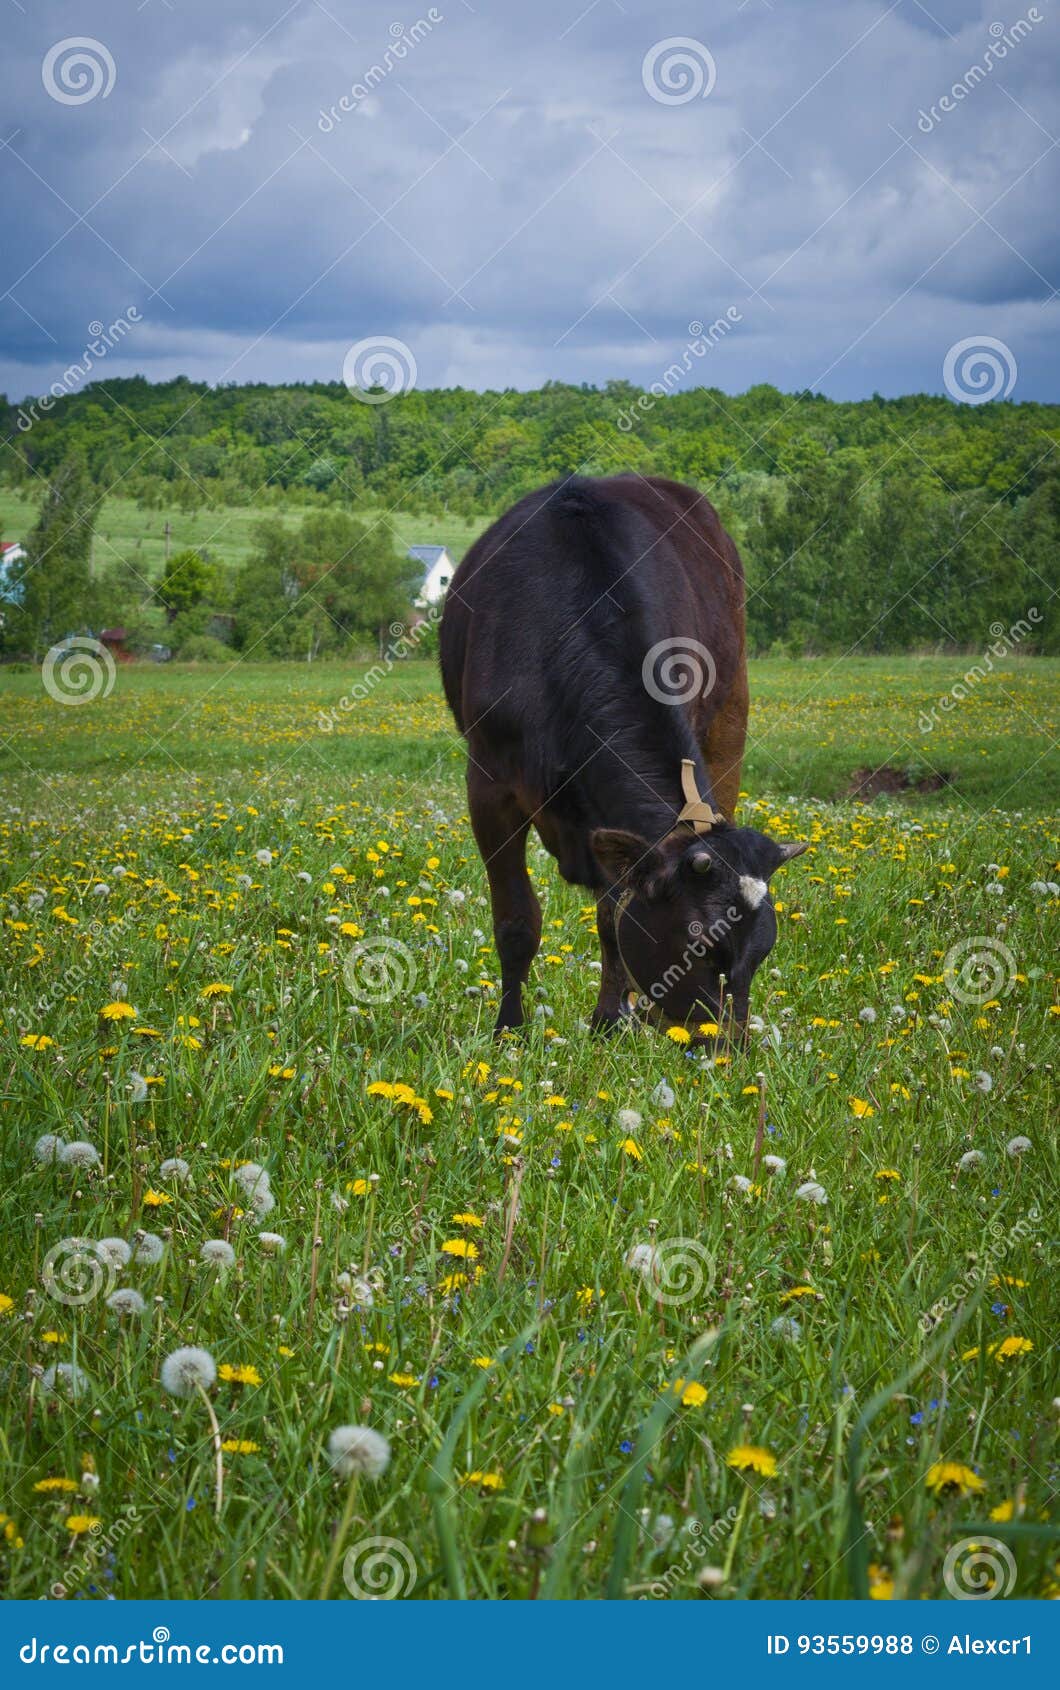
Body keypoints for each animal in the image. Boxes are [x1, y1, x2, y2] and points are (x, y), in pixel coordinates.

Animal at [439, 474, 807, 1038]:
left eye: (763, 951)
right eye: (700, 946)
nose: (732, 1046)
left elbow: (612, 918)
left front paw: (610, 1019)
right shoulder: (488, 785)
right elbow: (516, 919)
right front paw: (508, 1031)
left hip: (731, 714)